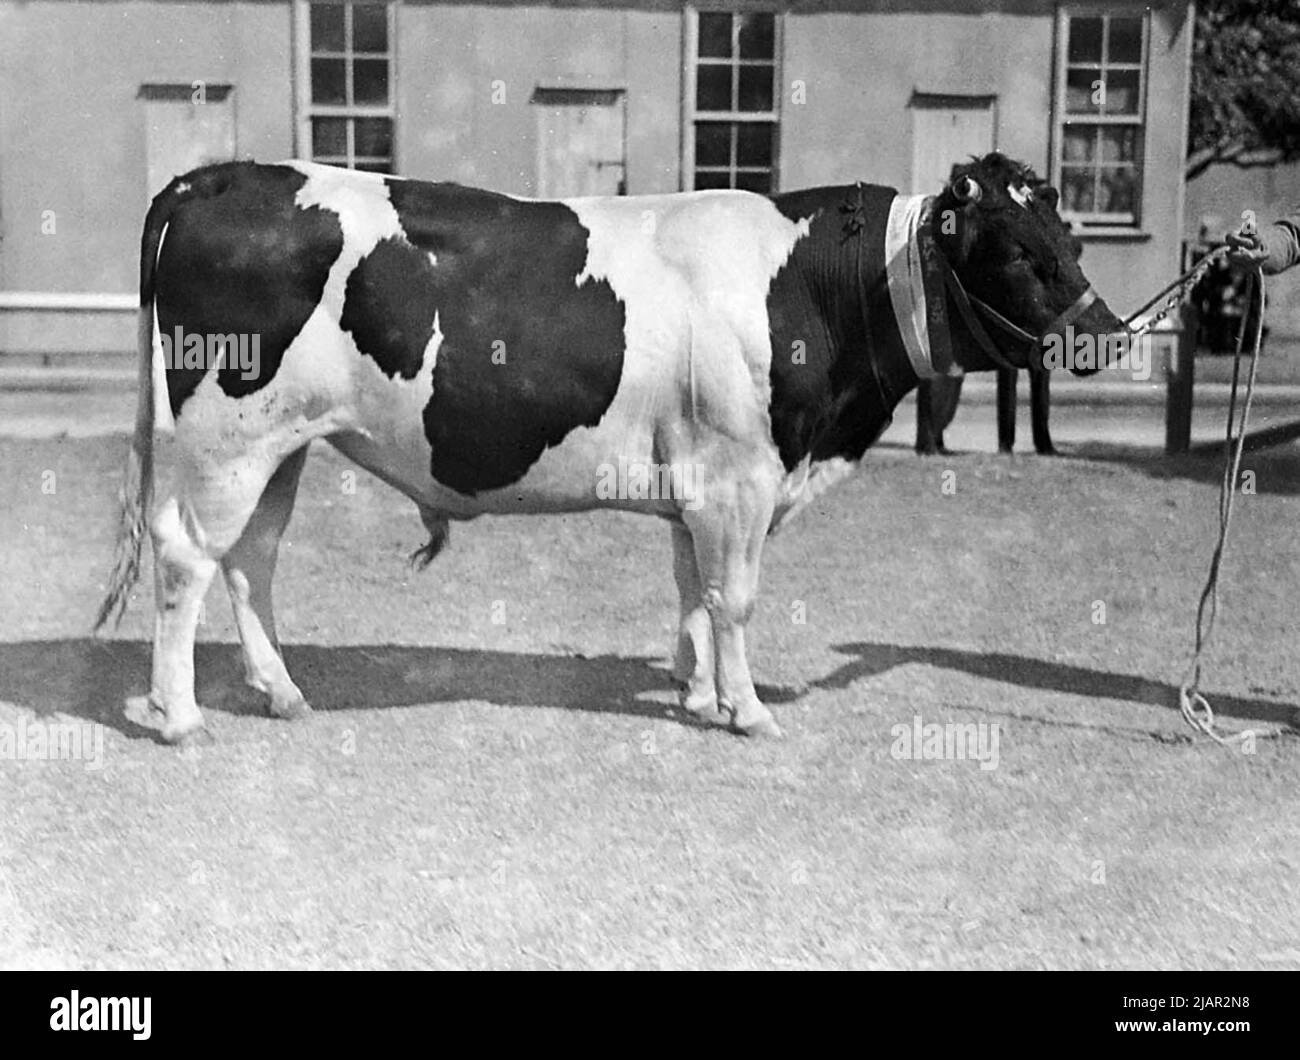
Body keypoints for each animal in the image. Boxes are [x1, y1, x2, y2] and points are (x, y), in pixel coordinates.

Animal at [95, 152, 1126, 744]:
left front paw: (698, 695)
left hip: (284, 443)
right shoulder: (740, 478)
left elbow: (693, 592)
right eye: (1018, 250)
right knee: (187, 558)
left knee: (251, 560)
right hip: (228, 441)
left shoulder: (698, 487)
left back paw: (281, 692)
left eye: (1071, 232)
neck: (809, 289)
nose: (1107, 331)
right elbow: (735, 598)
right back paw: (178, 716)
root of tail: (211, 176)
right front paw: (747, 711)